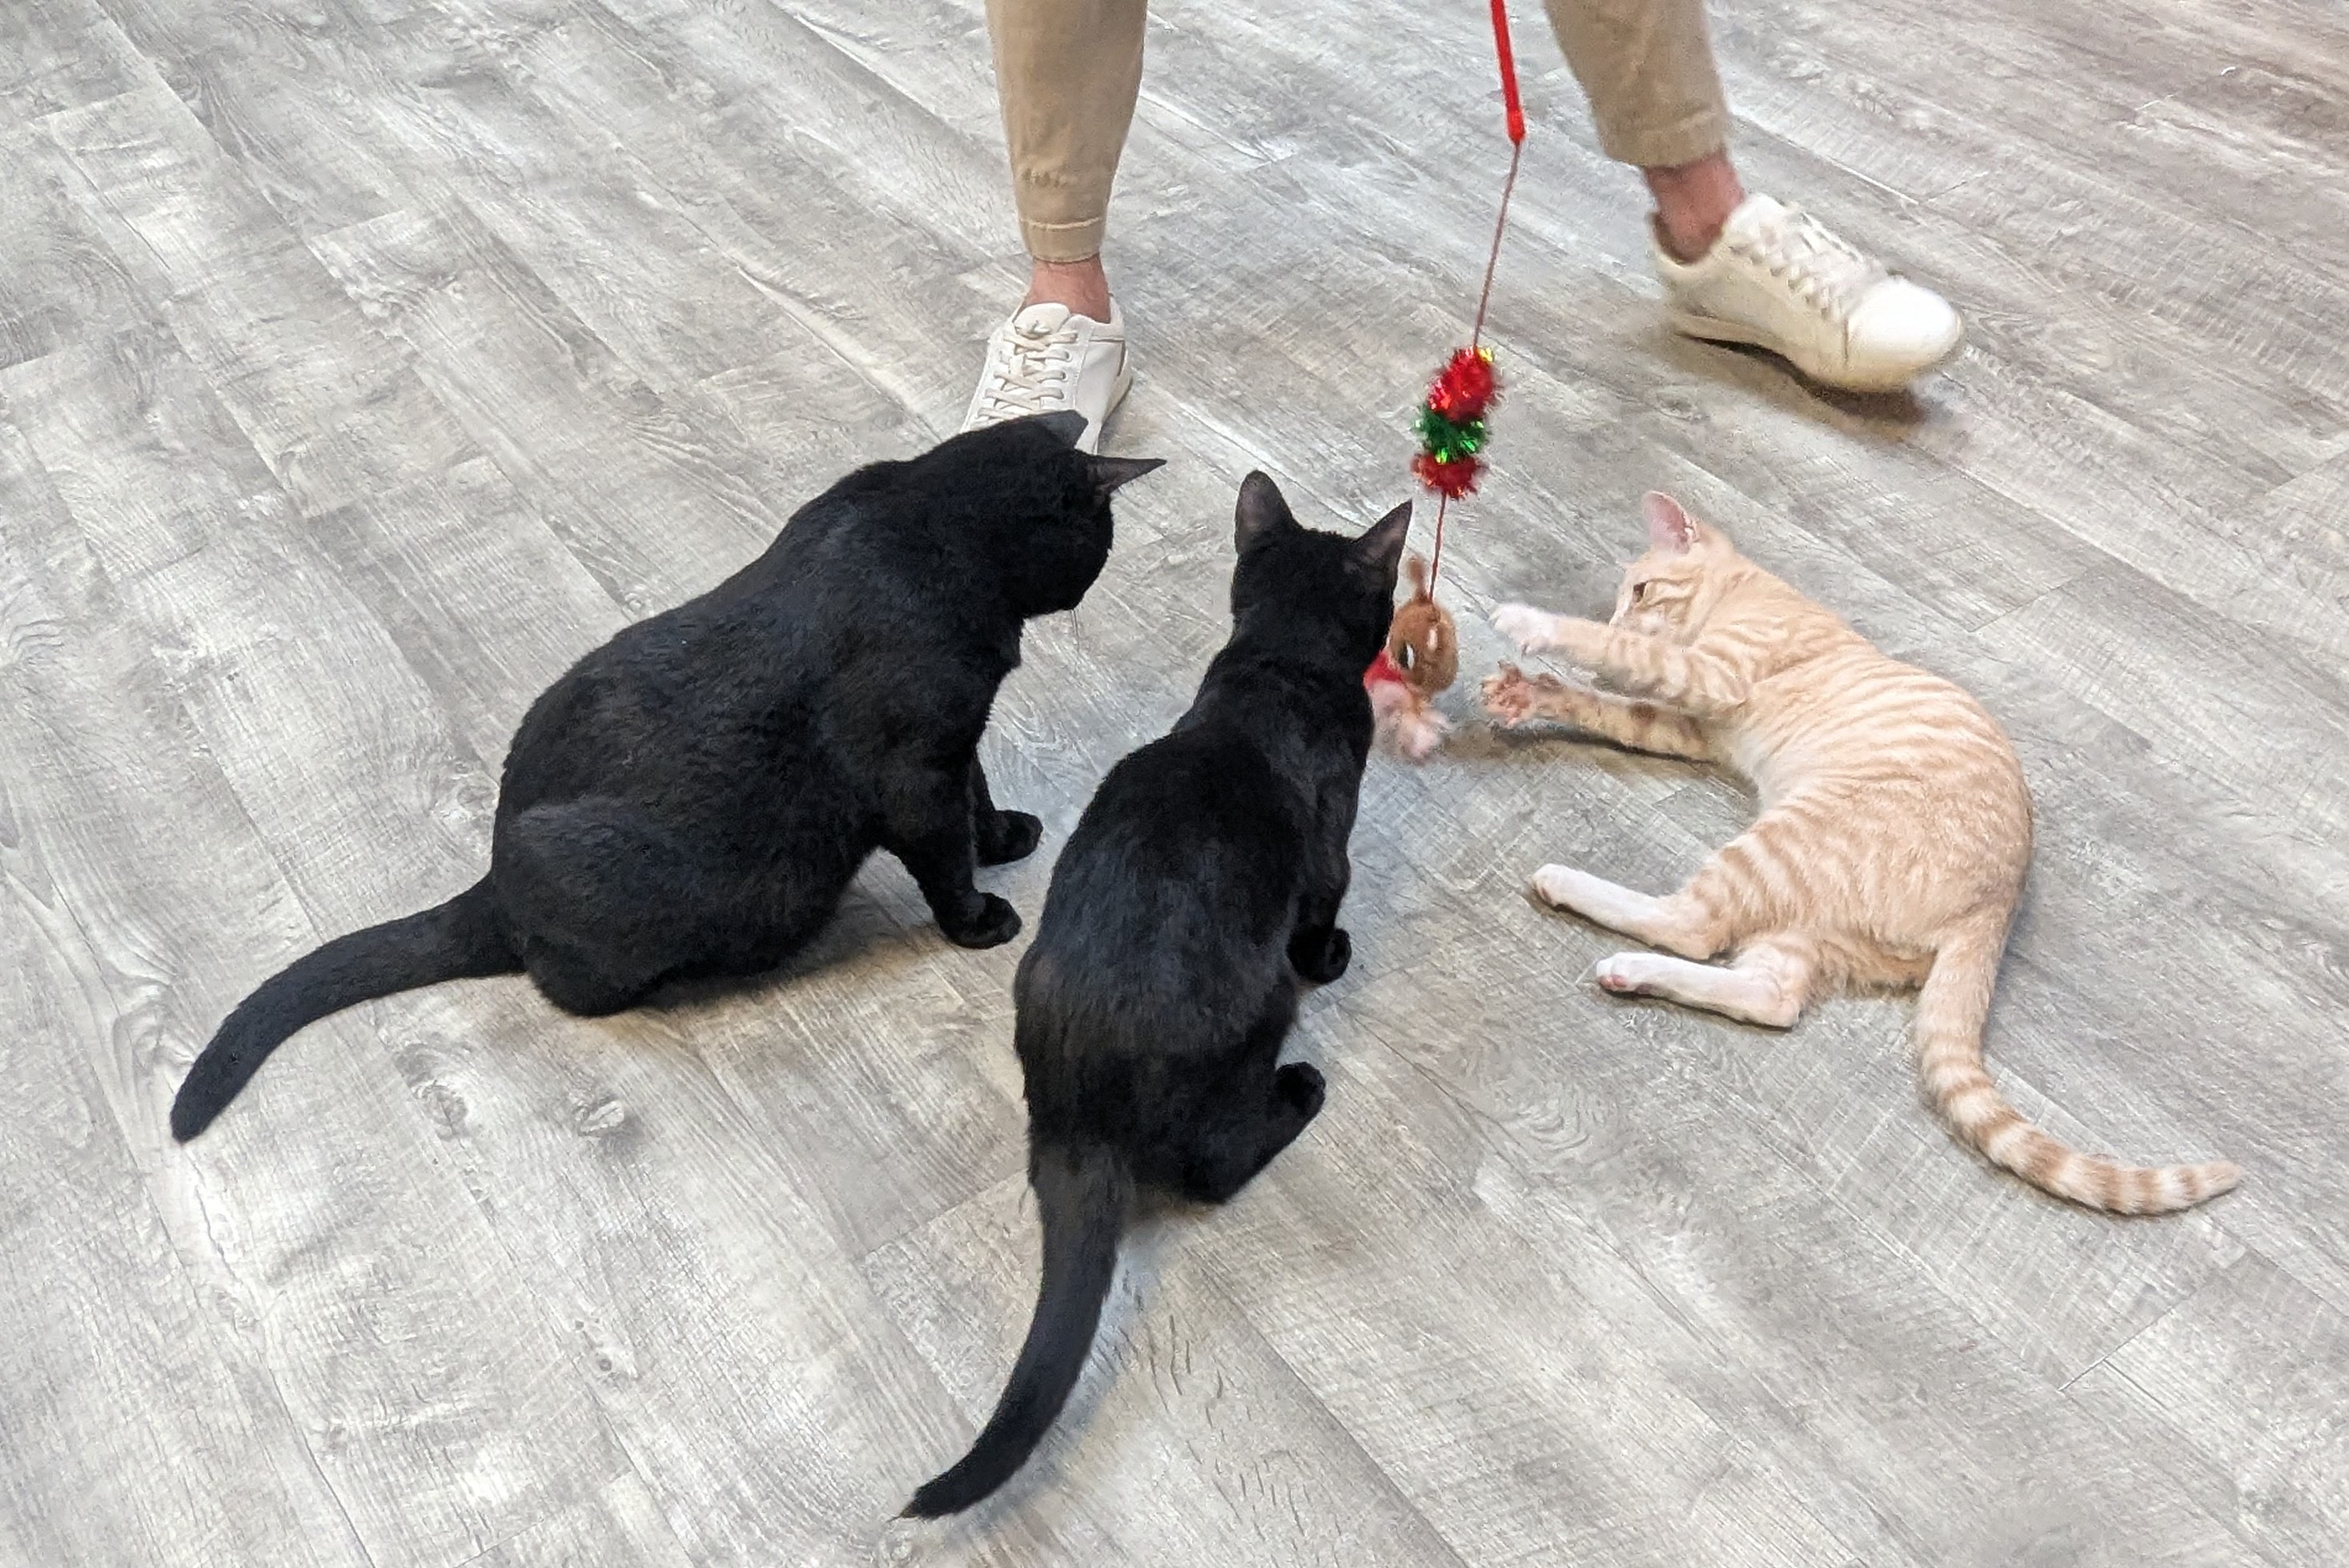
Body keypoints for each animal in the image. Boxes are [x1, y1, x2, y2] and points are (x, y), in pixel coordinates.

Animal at [170, 412, 1162, 1142]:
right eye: (1104, 538)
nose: (1097, 578)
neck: (928, 527)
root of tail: (493, 876)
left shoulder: (956, 742)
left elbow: (978, 799)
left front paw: (1008, 838)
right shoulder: (914, 771)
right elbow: (945, 855)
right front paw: (981, 919)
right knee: (554, 982)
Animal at [902, 472, 1410, 1517]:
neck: (1276, 665)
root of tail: (1077, 1109)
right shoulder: (1330, 847)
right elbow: (1327, 906)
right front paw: (1336, 954)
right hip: (1263, 1007)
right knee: (1213, 1167)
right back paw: (1298, 1092)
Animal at [1483, 491, 2238, 1215]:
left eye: (1639, 591)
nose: (1619, 613)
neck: (1747, 590)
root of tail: (1999, 904)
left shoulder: (1711, 674)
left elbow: (1620, 658)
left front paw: (1534, 622)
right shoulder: (1687, 723)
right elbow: (1613, 706)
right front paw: (1537, 692)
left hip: (1783, 844)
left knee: (1691, 925)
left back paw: (1569, 886)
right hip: (1808, 921)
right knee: (1770, 997)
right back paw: (1634, 972)